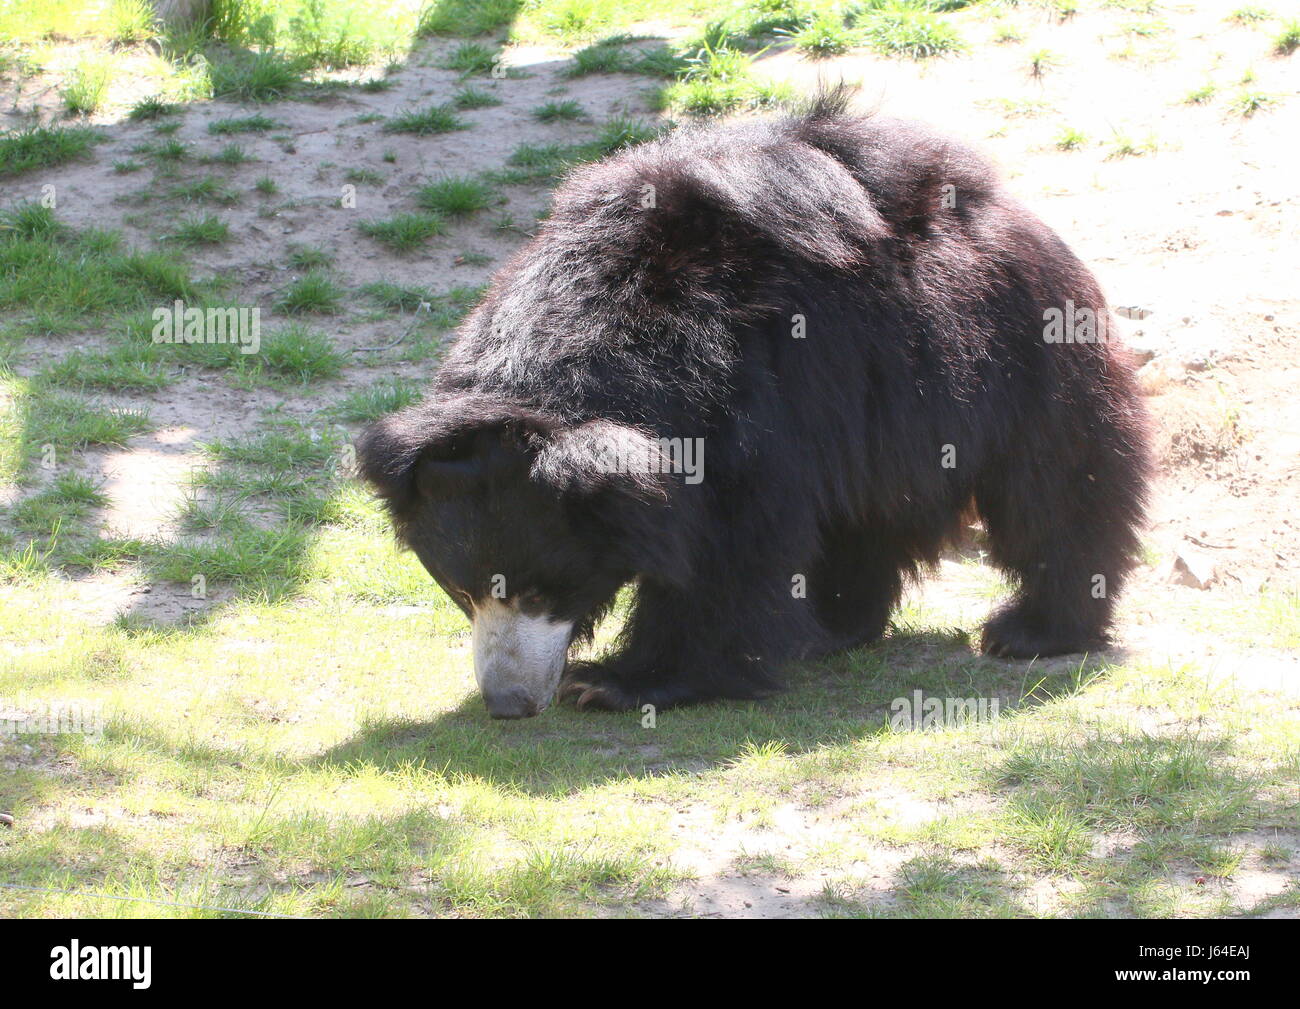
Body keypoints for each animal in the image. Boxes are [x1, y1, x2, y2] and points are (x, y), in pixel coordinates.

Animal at [358, 88, 1151, 720]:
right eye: (461, 589)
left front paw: (619, 681)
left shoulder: (750, 402)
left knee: (1056, 481)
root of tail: (1000, 202)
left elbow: (731, 544)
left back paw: (1031, 629)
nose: (508, 702)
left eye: (539, 588)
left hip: (1011, 353)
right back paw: (834, 625)